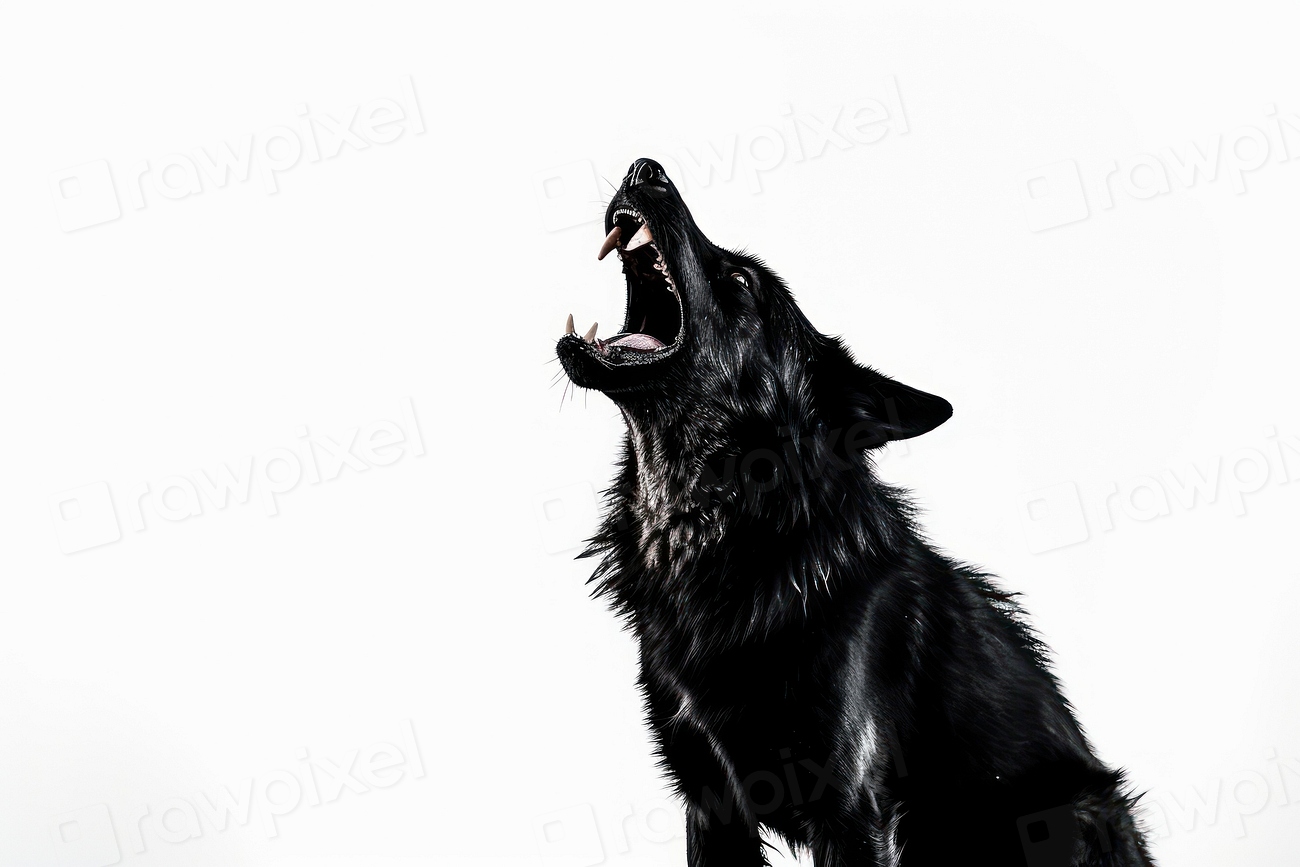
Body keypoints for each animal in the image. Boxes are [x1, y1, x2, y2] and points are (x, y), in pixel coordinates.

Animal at [556, 158, 1154, 866]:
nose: (645, 167)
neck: (712, 530)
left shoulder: (851, 808)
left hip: (1069, 815)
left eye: (741, 281)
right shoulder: (710, 804)